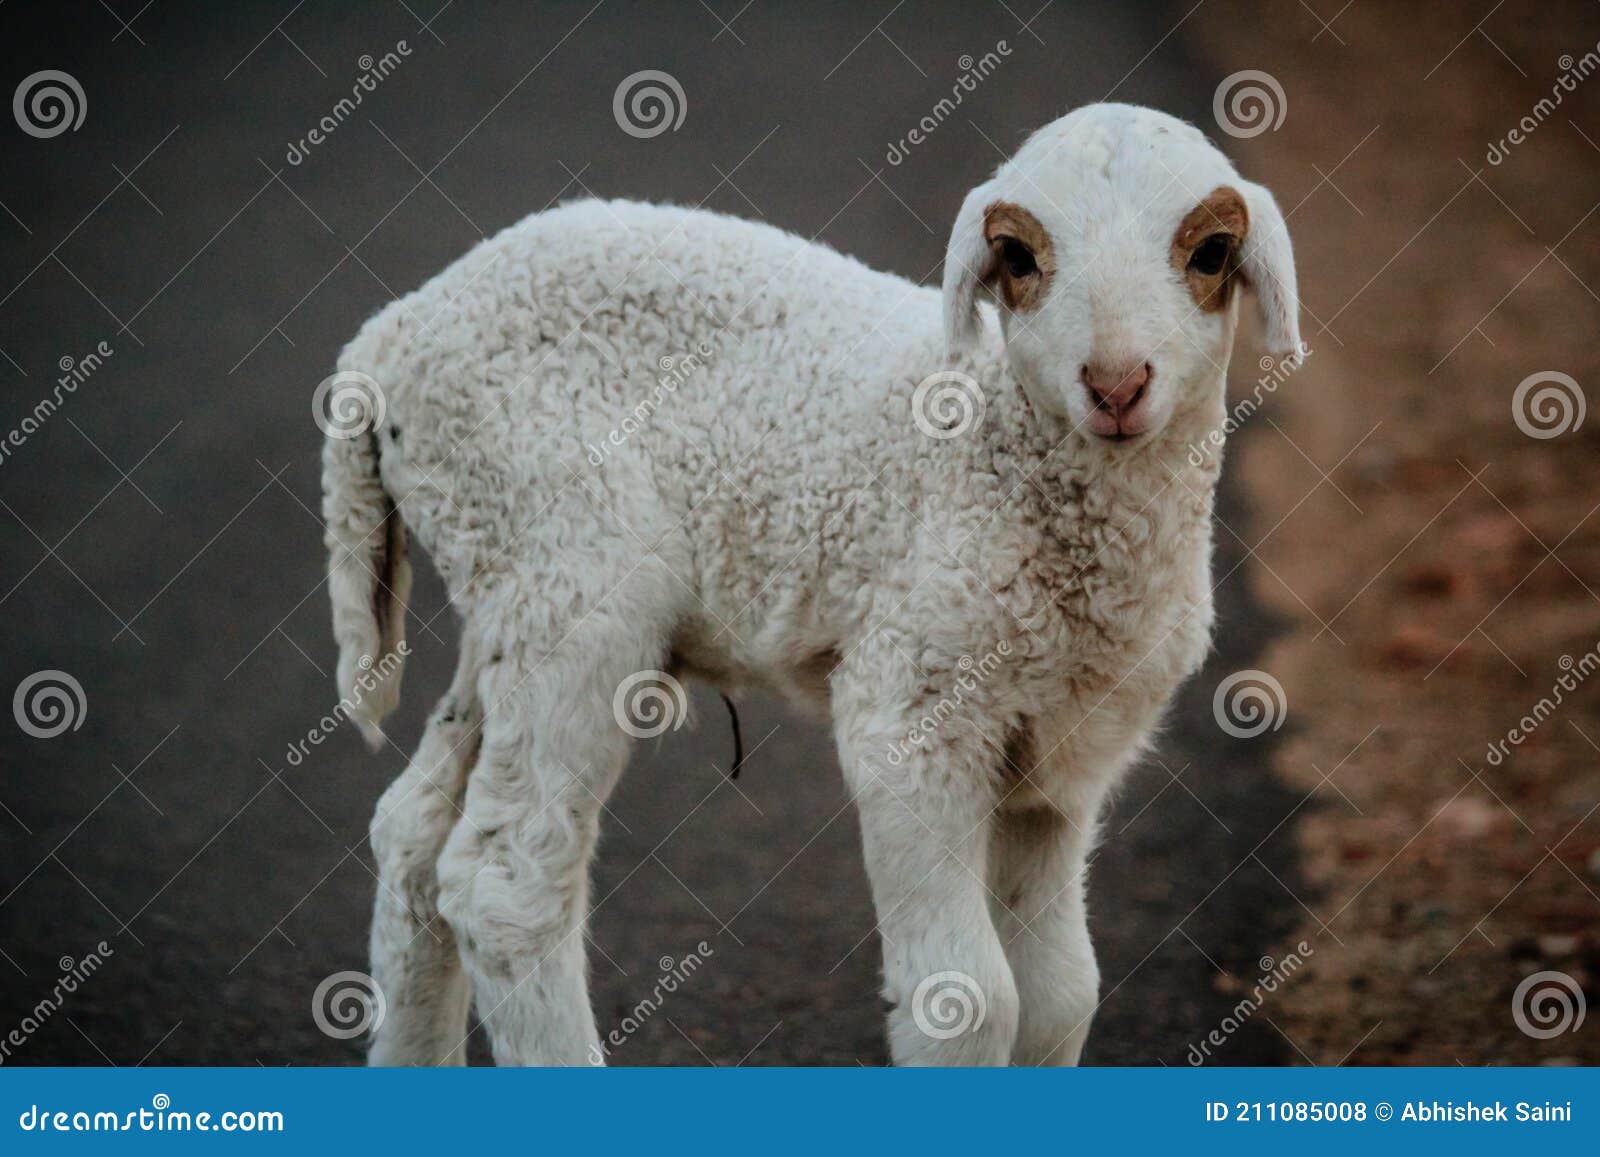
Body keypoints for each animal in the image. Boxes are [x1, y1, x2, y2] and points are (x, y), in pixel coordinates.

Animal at [321, 101, 1301, 1067]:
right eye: (1019, 259)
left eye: (1212, 252)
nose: (1116, 384)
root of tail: (388, 338)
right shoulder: (912, 704)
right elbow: (967, 1002)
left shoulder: (1063, 754)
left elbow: (1061, 995)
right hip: (571, 569)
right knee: (504, 881)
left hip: (504, 589)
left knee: (416, 831)